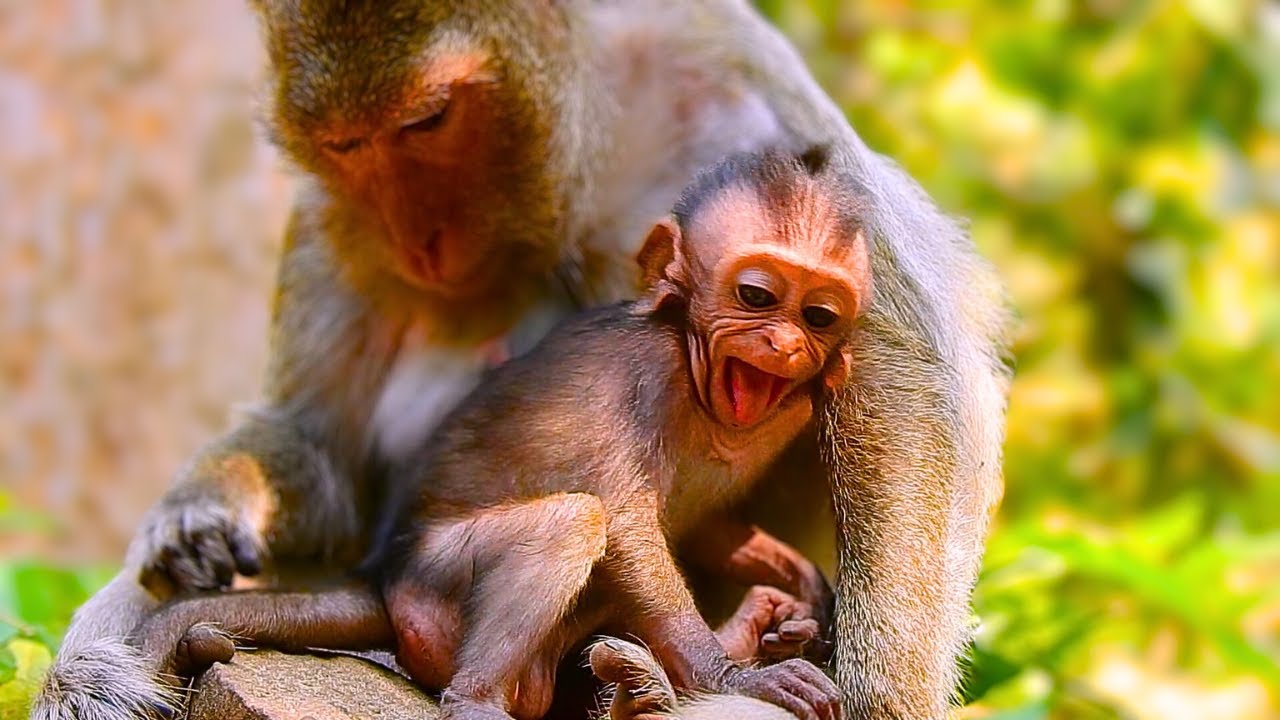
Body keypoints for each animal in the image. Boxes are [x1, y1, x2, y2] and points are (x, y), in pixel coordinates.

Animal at [128, 147, 865, 720]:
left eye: (819, 315)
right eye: (757, 296)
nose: (786, 345)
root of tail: (381, 578)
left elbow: (710, 529)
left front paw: (804, 590)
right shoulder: (647, 372)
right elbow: (626, 523)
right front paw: (730, 677)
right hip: (436, 583)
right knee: (573, 523)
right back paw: (479, 699)